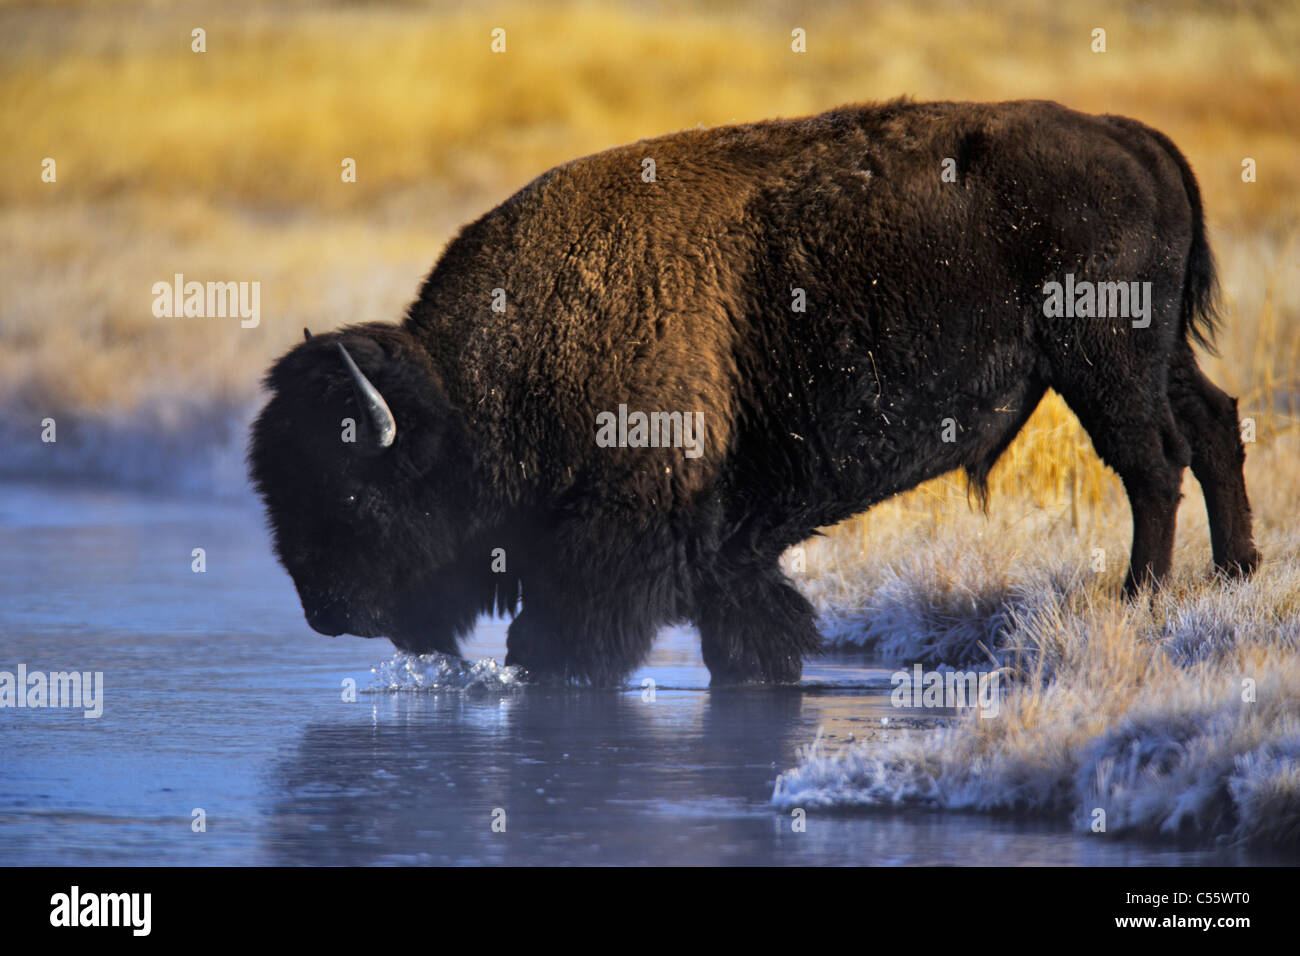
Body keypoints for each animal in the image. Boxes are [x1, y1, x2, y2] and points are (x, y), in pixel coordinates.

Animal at [249, 98, 1258, 685]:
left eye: (350, 492)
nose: (328, 613)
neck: (477, 394)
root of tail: (1137, 138)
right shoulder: (728, 538)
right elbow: (747, 611)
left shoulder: (624, 529)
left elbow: (570, 633)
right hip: (1153, 356)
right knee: (1212, 428)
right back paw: (1236, 575)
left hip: (1101, 360)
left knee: (1153, 463)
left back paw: (1140, 599)